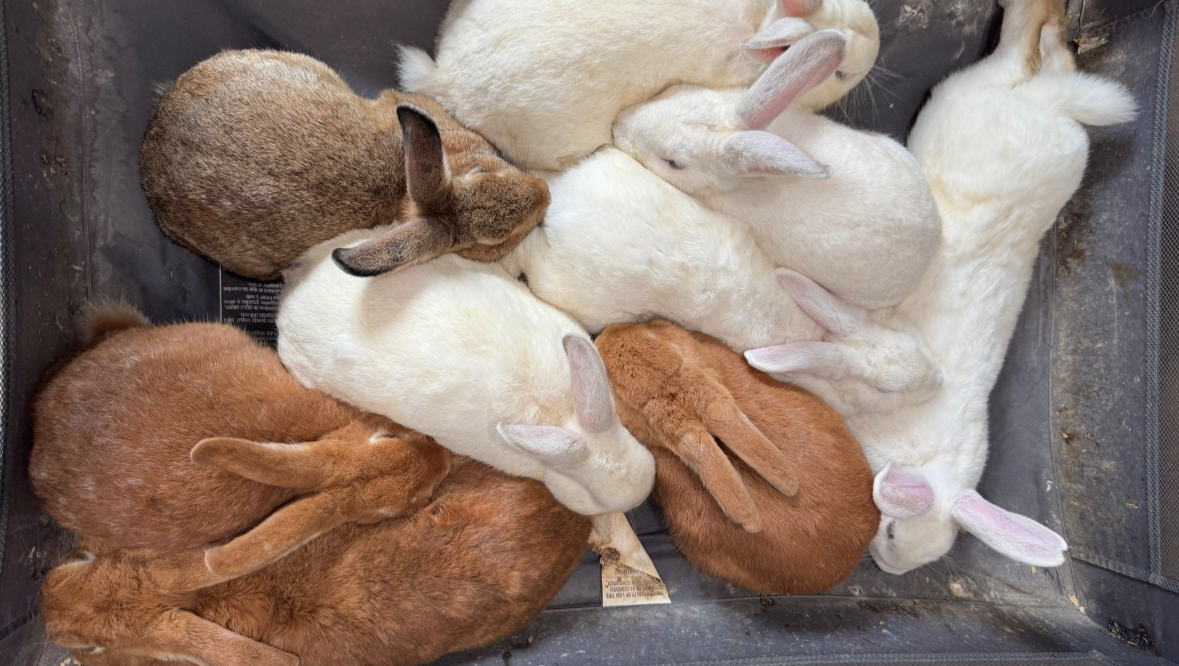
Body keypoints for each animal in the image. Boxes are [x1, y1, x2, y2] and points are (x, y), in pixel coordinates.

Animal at [745, 0, 1137, 573]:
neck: (928, 460)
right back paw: (1030, 14)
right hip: (969, 90)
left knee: (1048, 59)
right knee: (1023, 53)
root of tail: (1054, 106)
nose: (886, 568)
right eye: (891, 532)